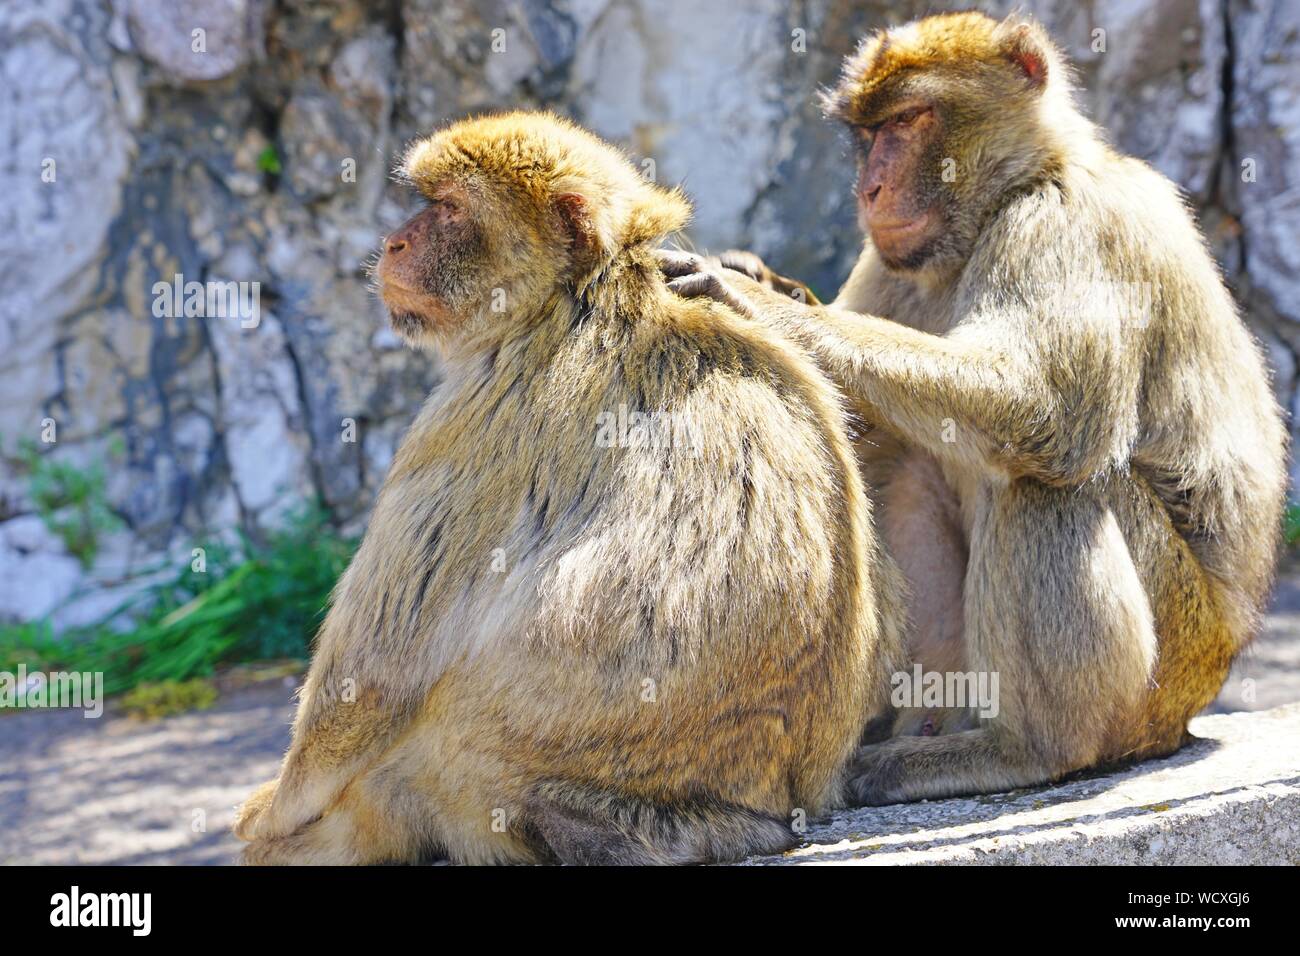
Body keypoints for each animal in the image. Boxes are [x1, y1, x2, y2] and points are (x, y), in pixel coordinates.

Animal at [232, 111, 908, 864]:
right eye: (428, 202)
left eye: (449, 208)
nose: (394, 243)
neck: (583, 296)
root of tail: (760, 812)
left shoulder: (475, 412)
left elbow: (376, 668)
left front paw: (274, 812)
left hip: (467, 768)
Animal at [659, 11, 1288, 805]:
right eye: (868, 132)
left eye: (909, 120)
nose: (870, 187)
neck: (1005, 198)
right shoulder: (892, 263)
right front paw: (770, 284)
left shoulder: (1065, 222)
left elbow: (1047, 409)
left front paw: (756, 302)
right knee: (907, 462)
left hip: (1167, 665)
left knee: (1047, 485)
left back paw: (1027, 750)